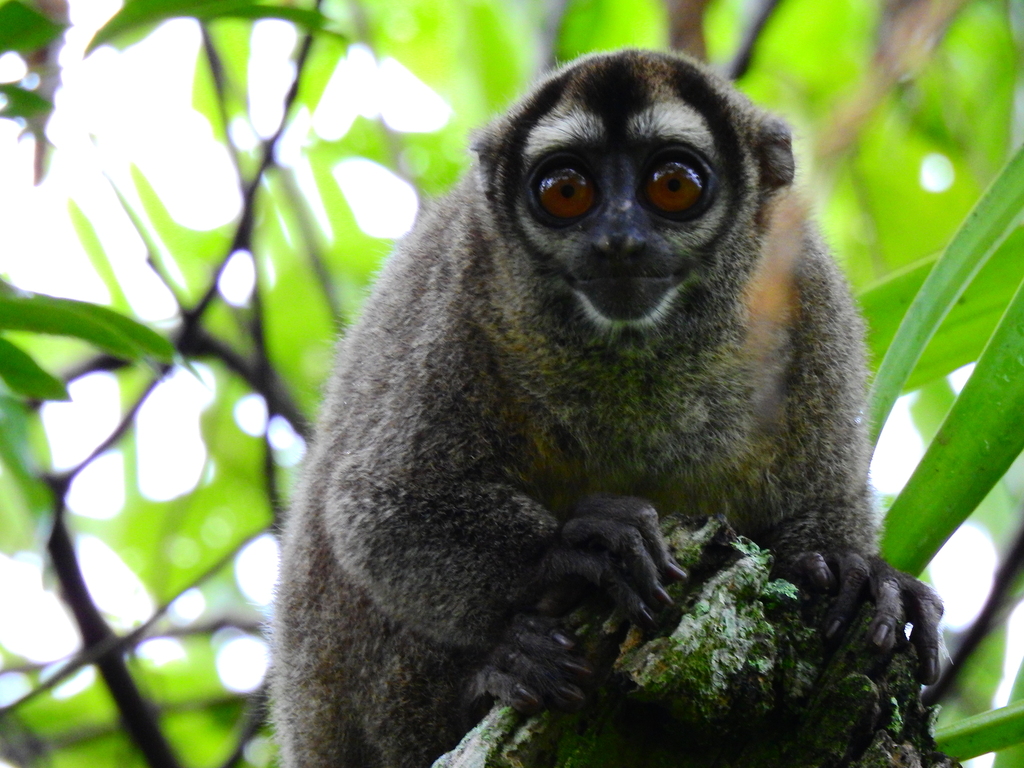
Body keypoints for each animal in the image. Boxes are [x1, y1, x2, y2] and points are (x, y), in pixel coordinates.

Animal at [269, 49, 943, 768]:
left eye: (673, 184)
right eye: (565, 190)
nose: (619, 240)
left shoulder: (807, 287)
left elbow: (824, 496)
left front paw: (855, 574)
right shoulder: (454, 288)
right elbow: (378, 506)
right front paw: (580, 545)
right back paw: (499, 670)